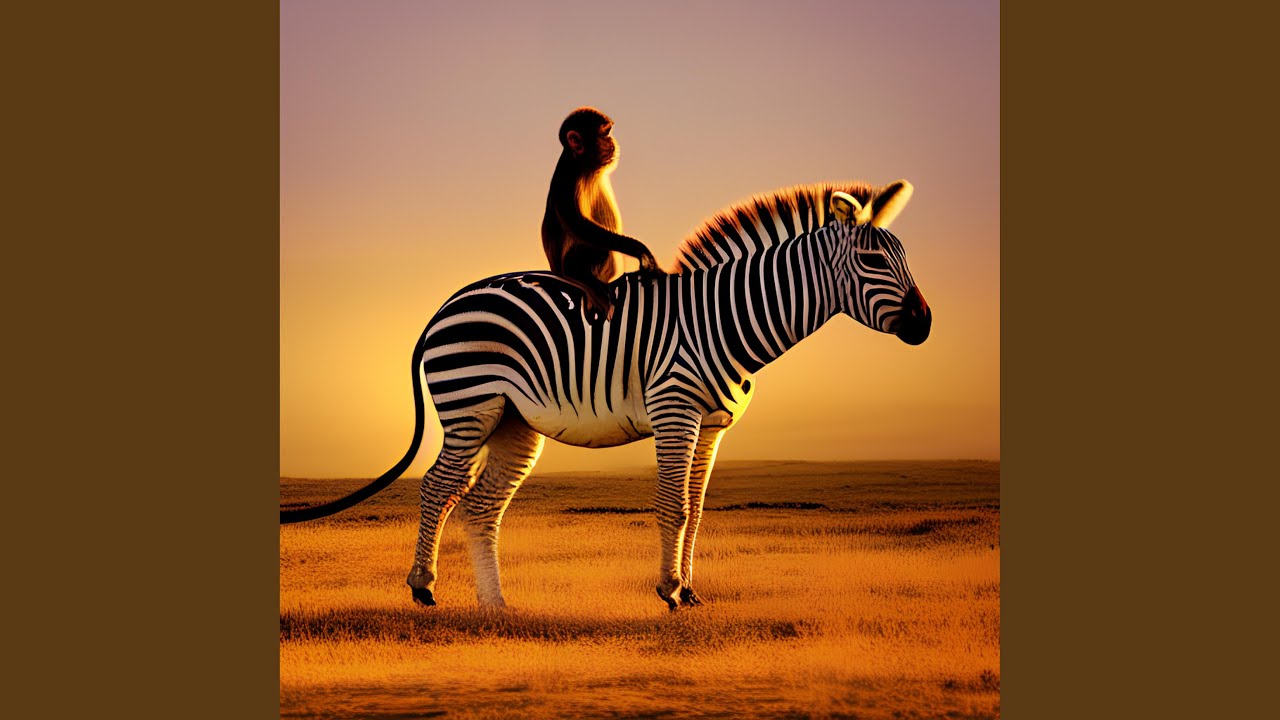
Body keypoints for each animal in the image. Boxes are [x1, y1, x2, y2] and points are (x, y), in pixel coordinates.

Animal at [280, 180, 932, 611]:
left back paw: (498, 607)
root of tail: (448, 304)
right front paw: (668, 592)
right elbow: (673, 506)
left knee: (480, 505)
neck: (726, 320)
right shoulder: (675, 411)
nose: (925, 324)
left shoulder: (712, 426)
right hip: (470, 405)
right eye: (872, 258)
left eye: (904, 255)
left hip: (514, 424)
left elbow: (697, 510)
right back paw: (423, 588)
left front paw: (691, 590)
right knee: (438, 487)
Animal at [541, 107, 663, 321]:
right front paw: (640, 251)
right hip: (569, 267)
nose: (613, 141)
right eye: (605, 133)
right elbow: (578, 225)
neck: (582, 165)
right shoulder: (568, 178)